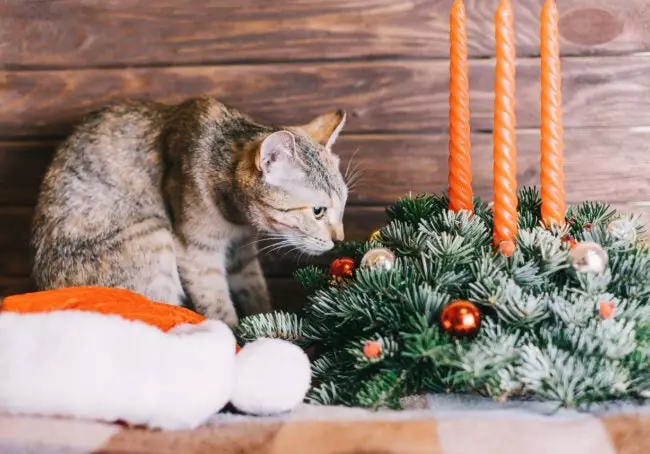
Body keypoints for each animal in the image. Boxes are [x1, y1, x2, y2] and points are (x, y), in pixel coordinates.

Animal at [30, 97, 346, 324]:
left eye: (343, 205)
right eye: (318, 211)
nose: (340, 239)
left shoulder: (242, 255)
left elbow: (257, 298)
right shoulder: (196, 252)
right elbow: (219, 309)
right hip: (152, 233)